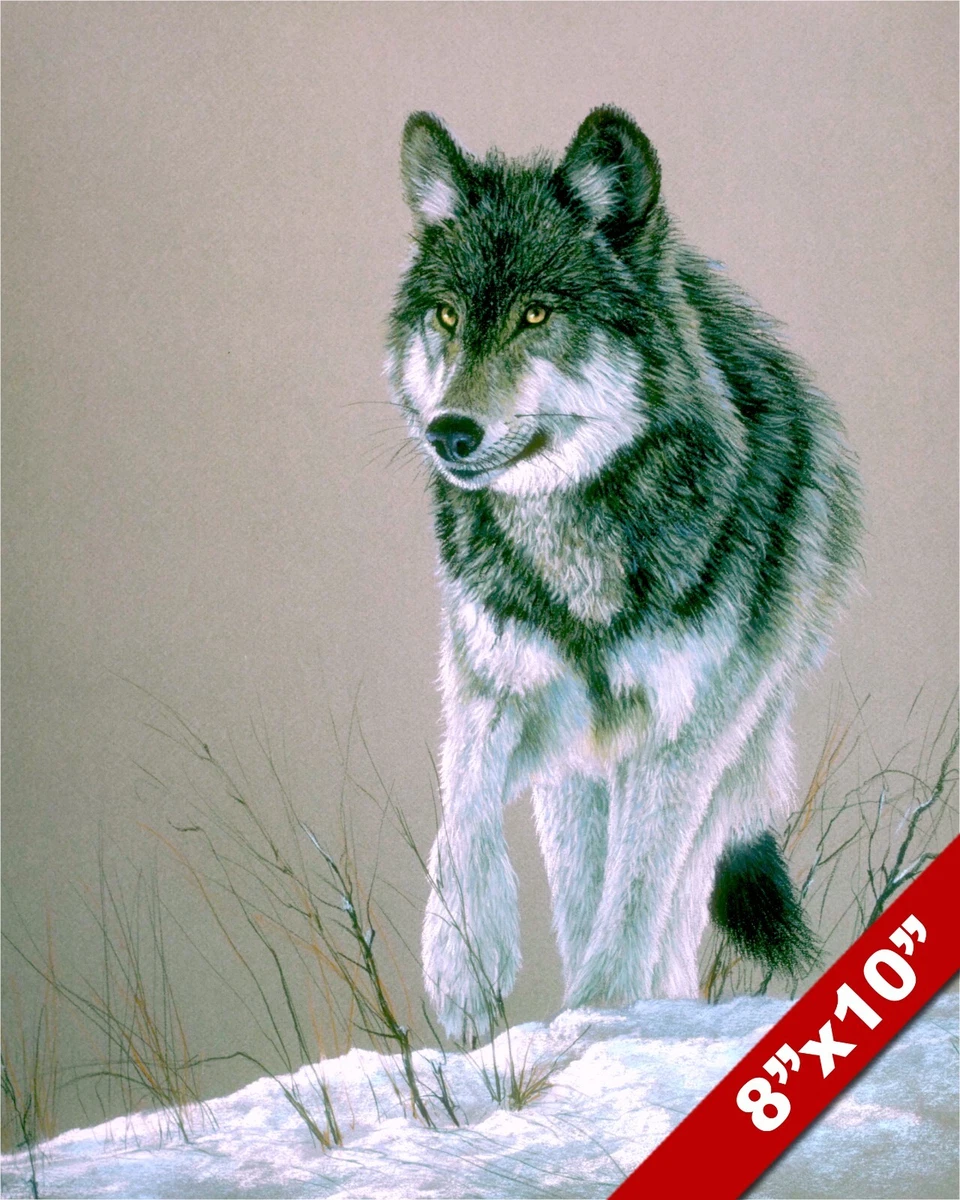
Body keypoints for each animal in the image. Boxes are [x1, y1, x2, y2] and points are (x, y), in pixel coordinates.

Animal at [386, 107, 860, 1037]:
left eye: (536, 314)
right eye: (449, 316)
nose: (450, 432)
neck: (576, 552)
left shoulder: (682, 732)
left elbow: (640, 890)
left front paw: (606, 1011)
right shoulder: (502, 690)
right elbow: (462, 811)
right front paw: (462, 972)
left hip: (726, 744)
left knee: (671, 898)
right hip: (576, 778)